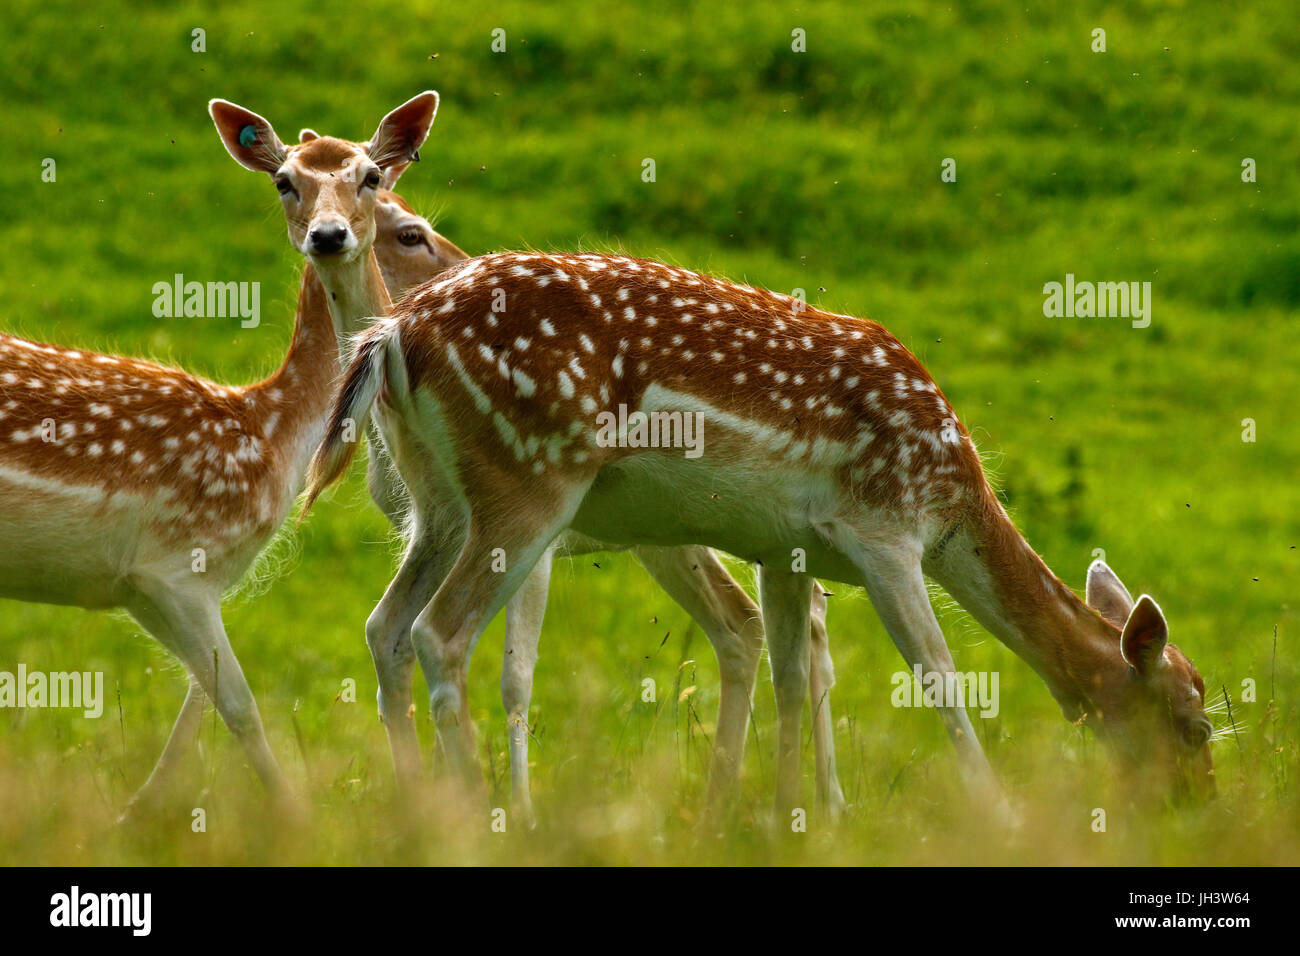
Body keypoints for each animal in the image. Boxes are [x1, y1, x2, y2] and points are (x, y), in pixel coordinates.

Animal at [209, 93, 850, 824]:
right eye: (284, 181)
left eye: (379, 186)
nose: (328, 236)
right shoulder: (428, 523)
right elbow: (406, 649)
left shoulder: (531, 542)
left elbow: (516, 675)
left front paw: (518, 808)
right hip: (668, 528)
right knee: (749, 622)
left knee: (793, 614)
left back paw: (822, 800)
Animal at [305, 247, 1218, 819]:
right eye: (1195, 722)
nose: (1200, 804)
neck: (953, 504)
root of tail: (392, 334)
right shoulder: (884, 530)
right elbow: (941, 677)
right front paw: (999, 815)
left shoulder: (788, 550)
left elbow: (791, 676)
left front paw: (789, 818)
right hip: (528, 477)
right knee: (441, 633)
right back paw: (474, 815)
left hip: (437, 501)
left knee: (386, 625)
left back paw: (418, 808)